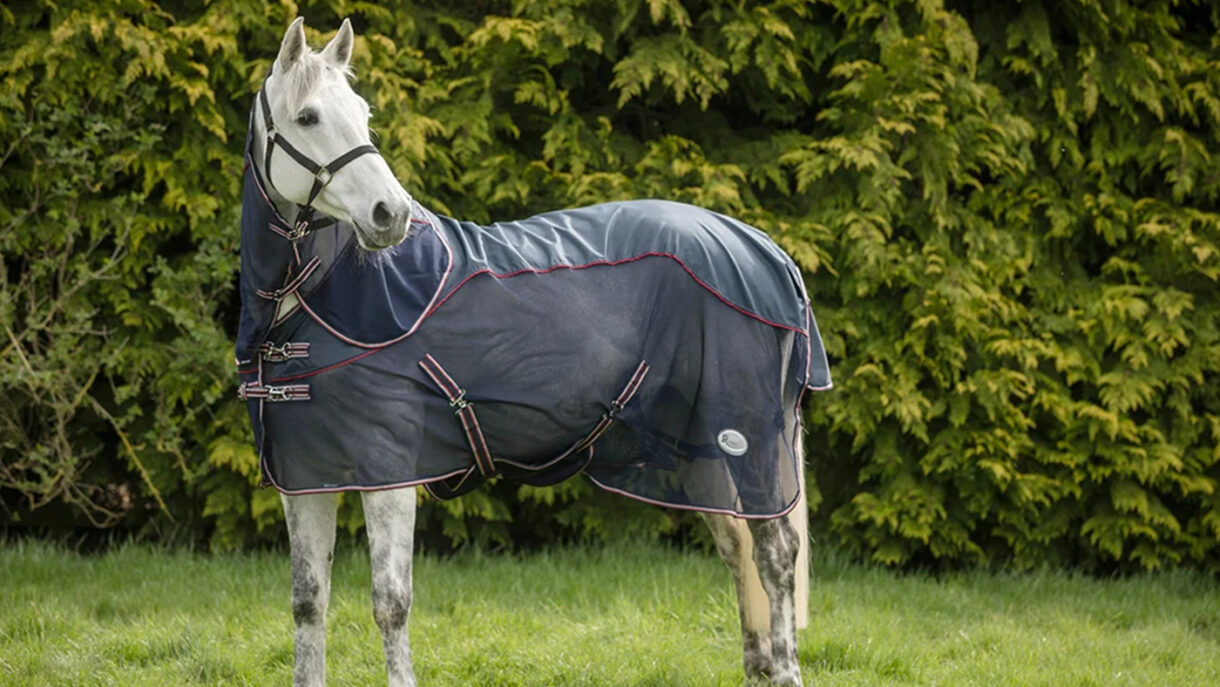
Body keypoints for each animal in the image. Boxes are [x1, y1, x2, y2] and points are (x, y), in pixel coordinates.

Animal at [237, 18, 832, 687]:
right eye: (308, 117)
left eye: (363, 114)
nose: (389, 214)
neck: (326, 301)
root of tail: (763, 247)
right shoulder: (304, 480)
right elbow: (308, 603)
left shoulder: (387, 471)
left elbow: (391, 602)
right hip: (701, 446)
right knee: (736, 547)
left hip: (751, 438)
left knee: (776, 553)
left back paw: (786, 668)